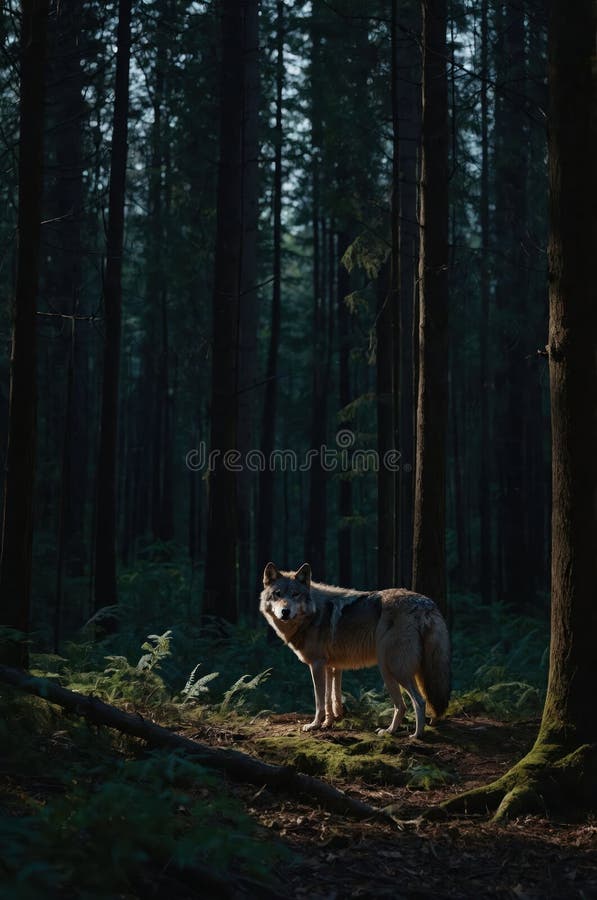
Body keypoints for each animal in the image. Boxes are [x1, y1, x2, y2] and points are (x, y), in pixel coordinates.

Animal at [260, 562, 451, 739]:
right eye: (278, 594)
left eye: (295, 594)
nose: (285, 611)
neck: (313, 614)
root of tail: (426, 604)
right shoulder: (330, 666)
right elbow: (331, 698)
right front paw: (328, 723)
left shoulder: (316, 665)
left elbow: (320, 700)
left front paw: (314, 725)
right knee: (409, 703)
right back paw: (397, 731)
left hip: (391, 669)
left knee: (416, 702)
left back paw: (411, 734)